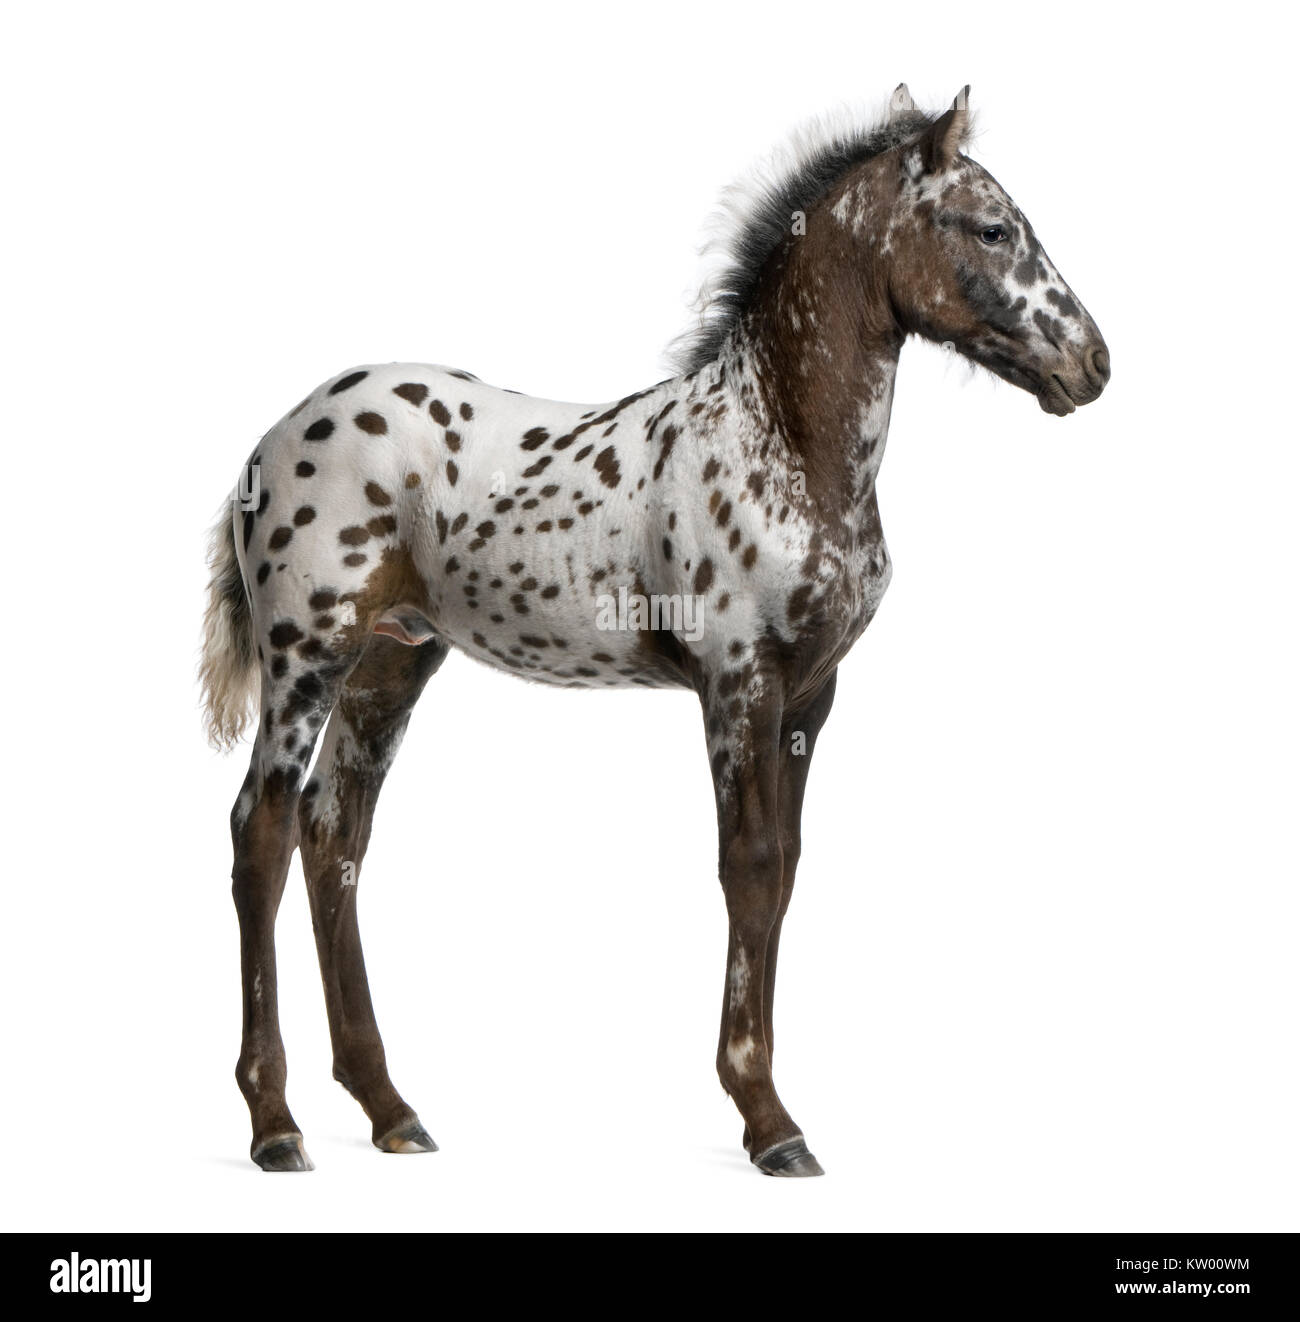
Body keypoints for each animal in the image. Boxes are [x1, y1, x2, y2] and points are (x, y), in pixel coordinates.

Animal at [200, 85, 1109, 1176]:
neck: (779, 442)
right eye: (992, 227)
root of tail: (270, 440)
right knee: (261, 832)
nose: (1094, 363)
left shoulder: (810, 697)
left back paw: (390, 1108)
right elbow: (747, 867)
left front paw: (769, 1104)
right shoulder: (737, 682)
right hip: (308, 657)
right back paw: (275, 1122)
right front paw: (769, 1121)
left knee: (336, 837)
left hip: (391, 665)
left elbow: (786, 869)